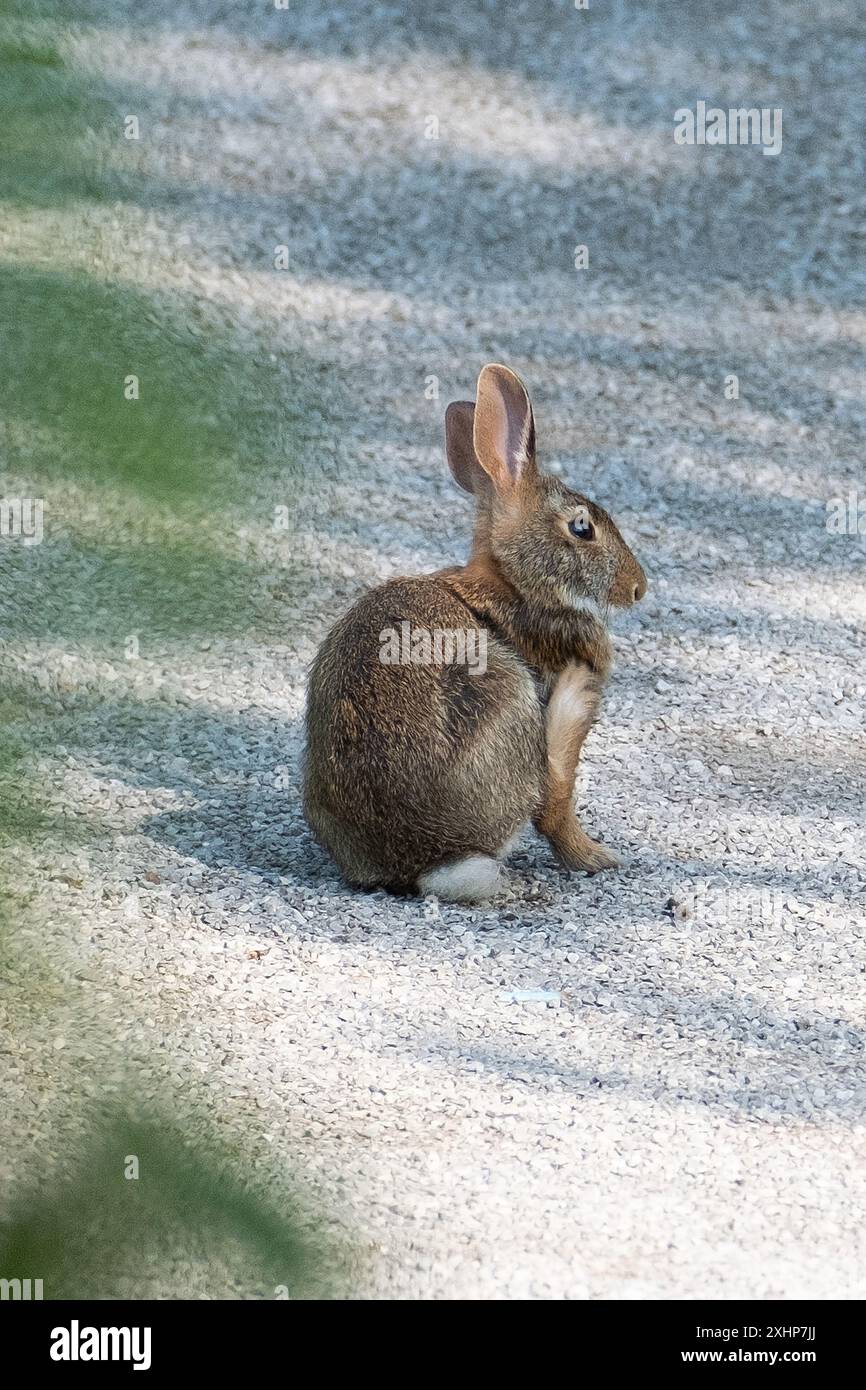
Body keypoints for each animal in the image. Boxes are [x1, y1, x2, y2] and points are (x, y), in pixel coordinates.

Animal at [303, 363, 646, 902]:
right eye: (581, 528)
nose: (638, 588)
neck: (512, 582)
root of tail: (424, 860)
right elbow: (558, 801)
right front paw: (597, 857)